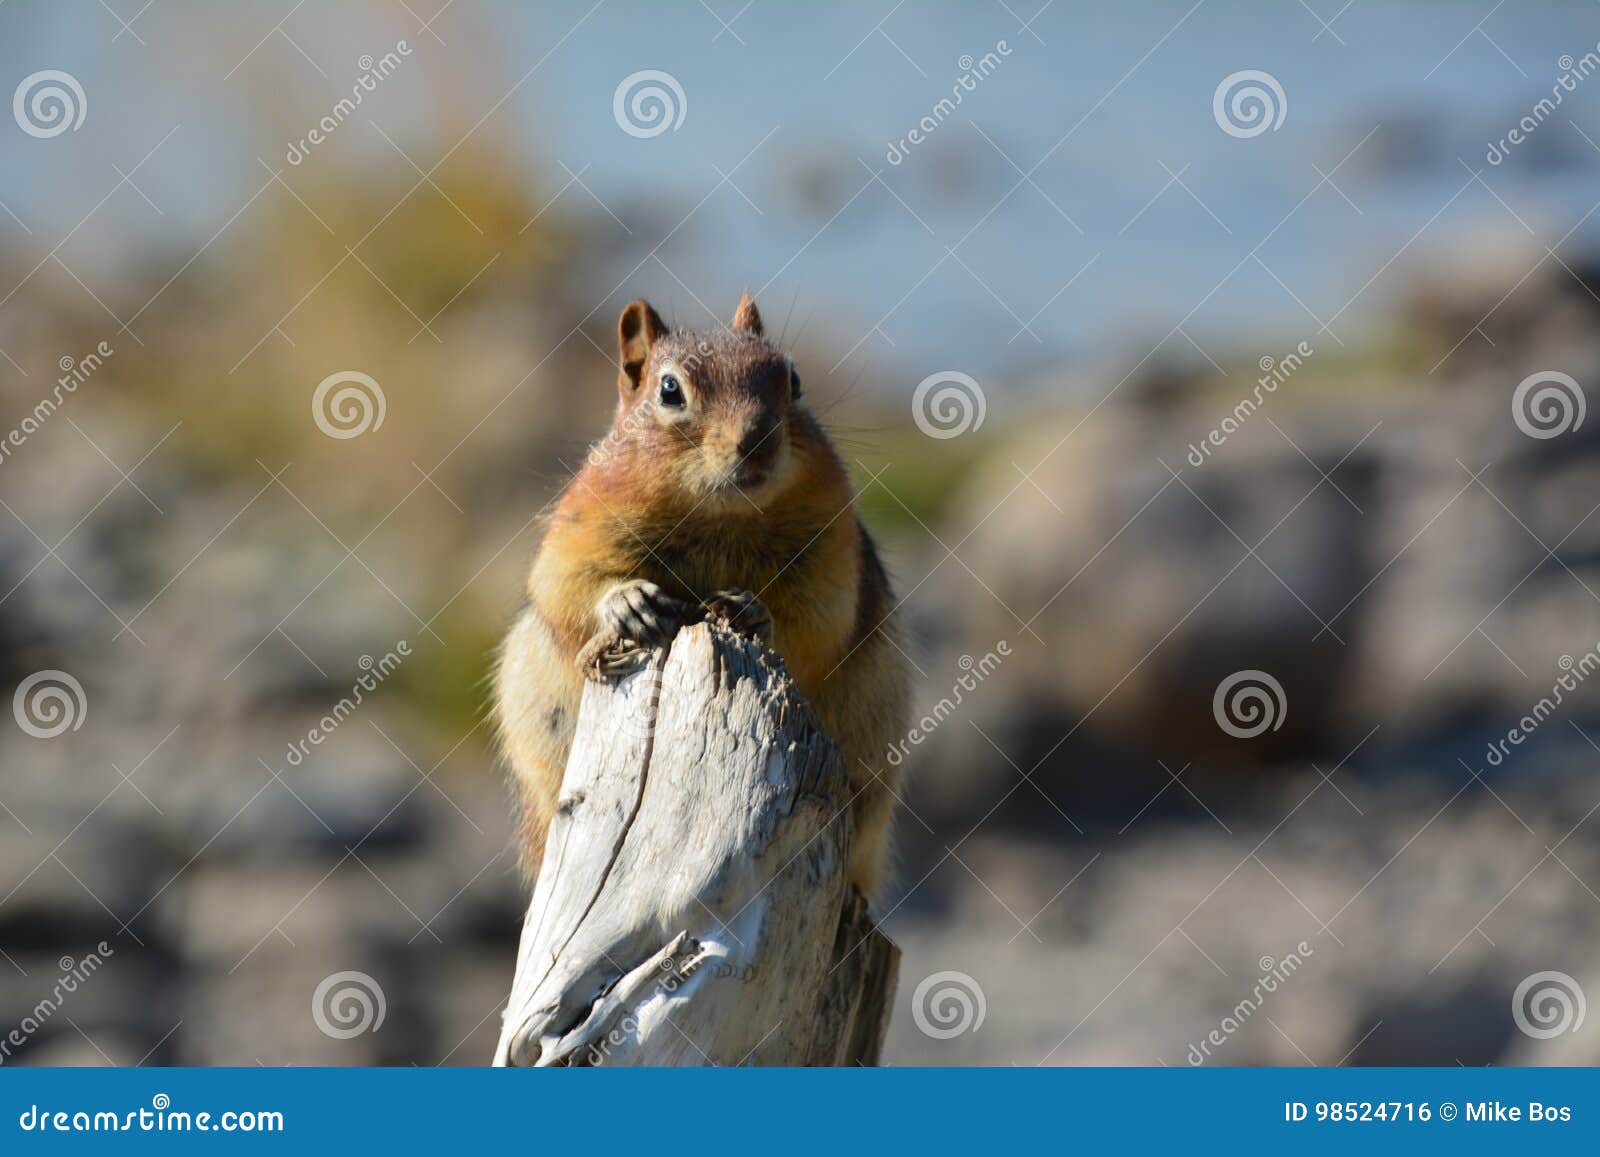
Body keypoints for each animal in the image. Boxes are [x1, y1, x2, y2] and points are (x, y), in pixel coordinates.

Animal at [493, 293, 911, 898]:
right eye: (670, 390)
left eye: (793, 379)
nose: (757, 439)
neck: (719, 517)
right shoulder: (578, 532)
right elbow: (568, 589)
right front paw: (628, 604)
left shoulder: (833, 557)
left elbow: (818, 621)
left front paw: (751, 610)